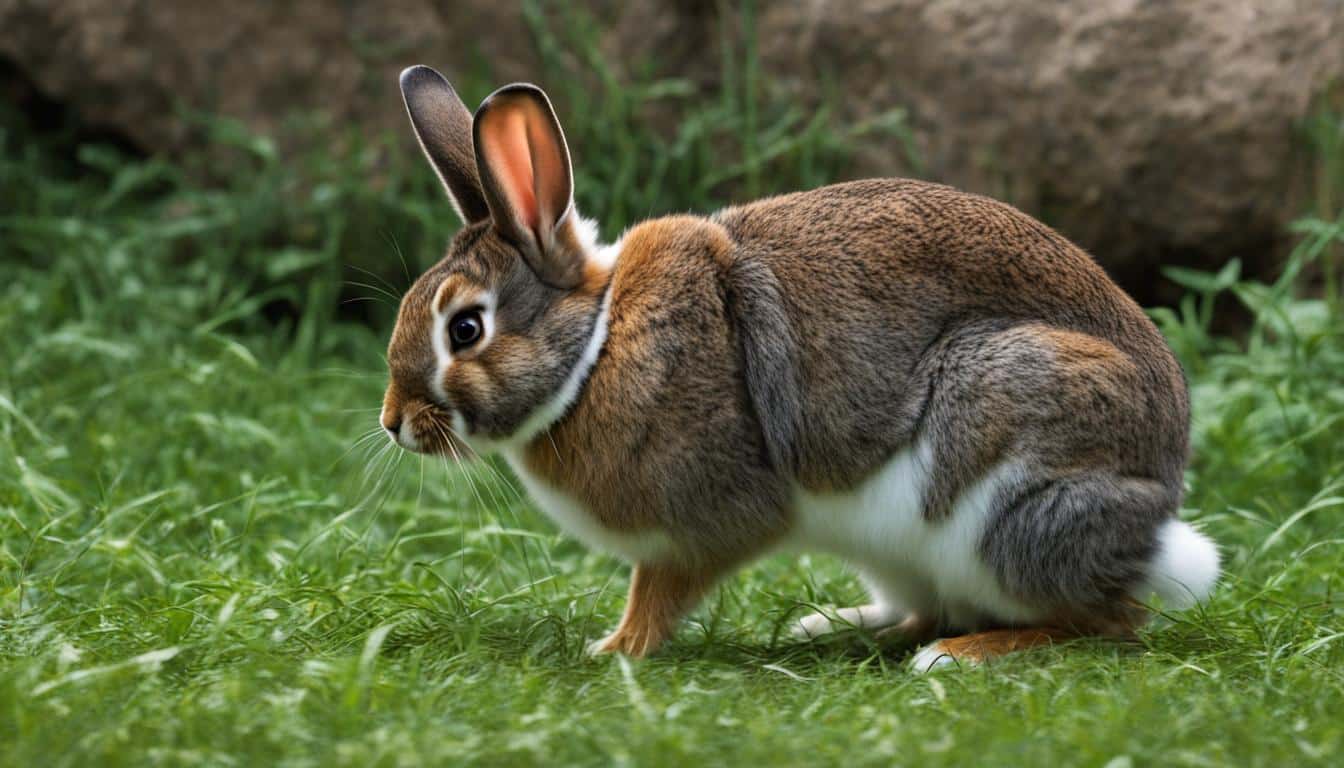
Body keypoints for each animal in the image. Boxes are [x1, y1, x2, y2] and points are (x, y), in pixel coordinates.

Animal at [380, 65, 1220, 671]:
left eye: (465, 328)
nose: (393, 424)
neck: (595, 346)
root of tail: (1156, 516)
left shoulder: (700, 524)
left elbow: (658, 592)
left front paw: (612, 650)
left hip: (1005, 494)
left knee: (1107, 621)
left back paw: (961, 656)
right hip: (904, 552)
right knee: (933, 606)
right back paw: (835, 627)